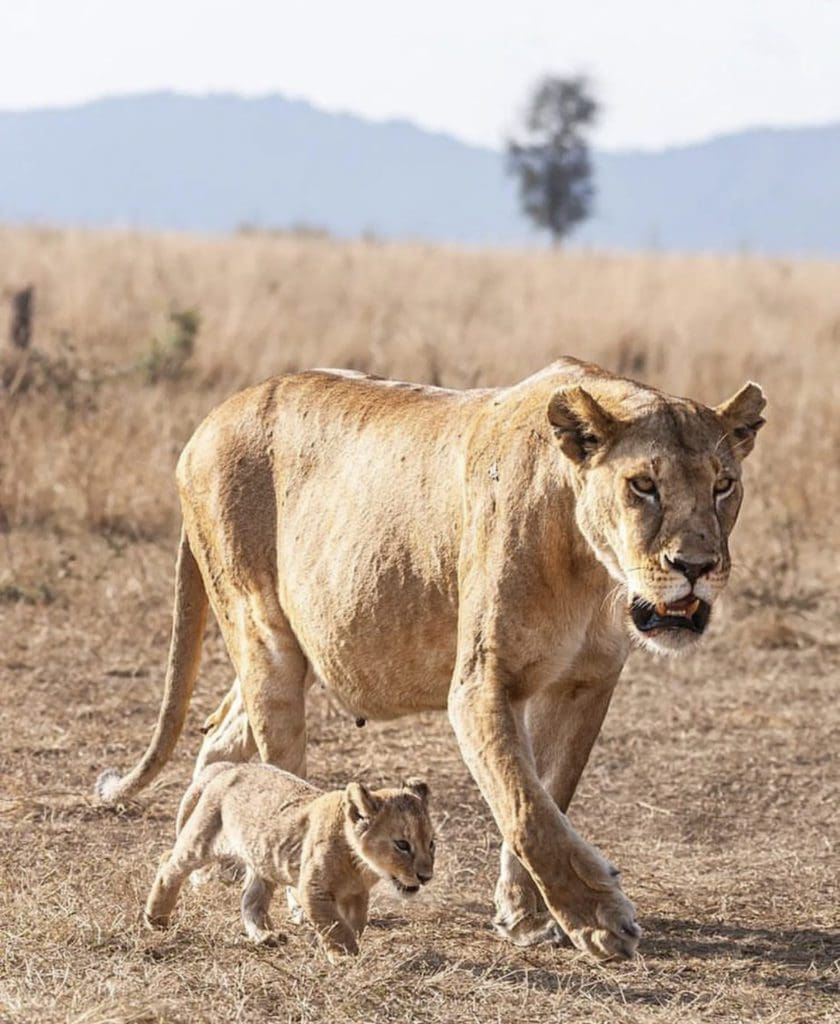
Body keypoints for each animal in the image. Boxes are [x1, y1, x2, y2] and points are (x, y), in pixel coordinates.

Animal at [144, 765, 434, 962]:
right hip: (203, 841)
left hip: (262, 860)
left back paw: (265, 936)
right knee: (169, 863)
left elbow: (355, 923)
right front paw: (344, 956)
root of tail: (230, 766)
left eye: (431, 844)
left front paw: (329, 946)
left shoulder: (356, 894)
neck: (360, 866)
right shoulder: (313, 888)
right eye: (402, 845)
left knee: (250, 899)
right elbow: (335, 924)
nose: (426, 877)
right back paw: (156, 918)